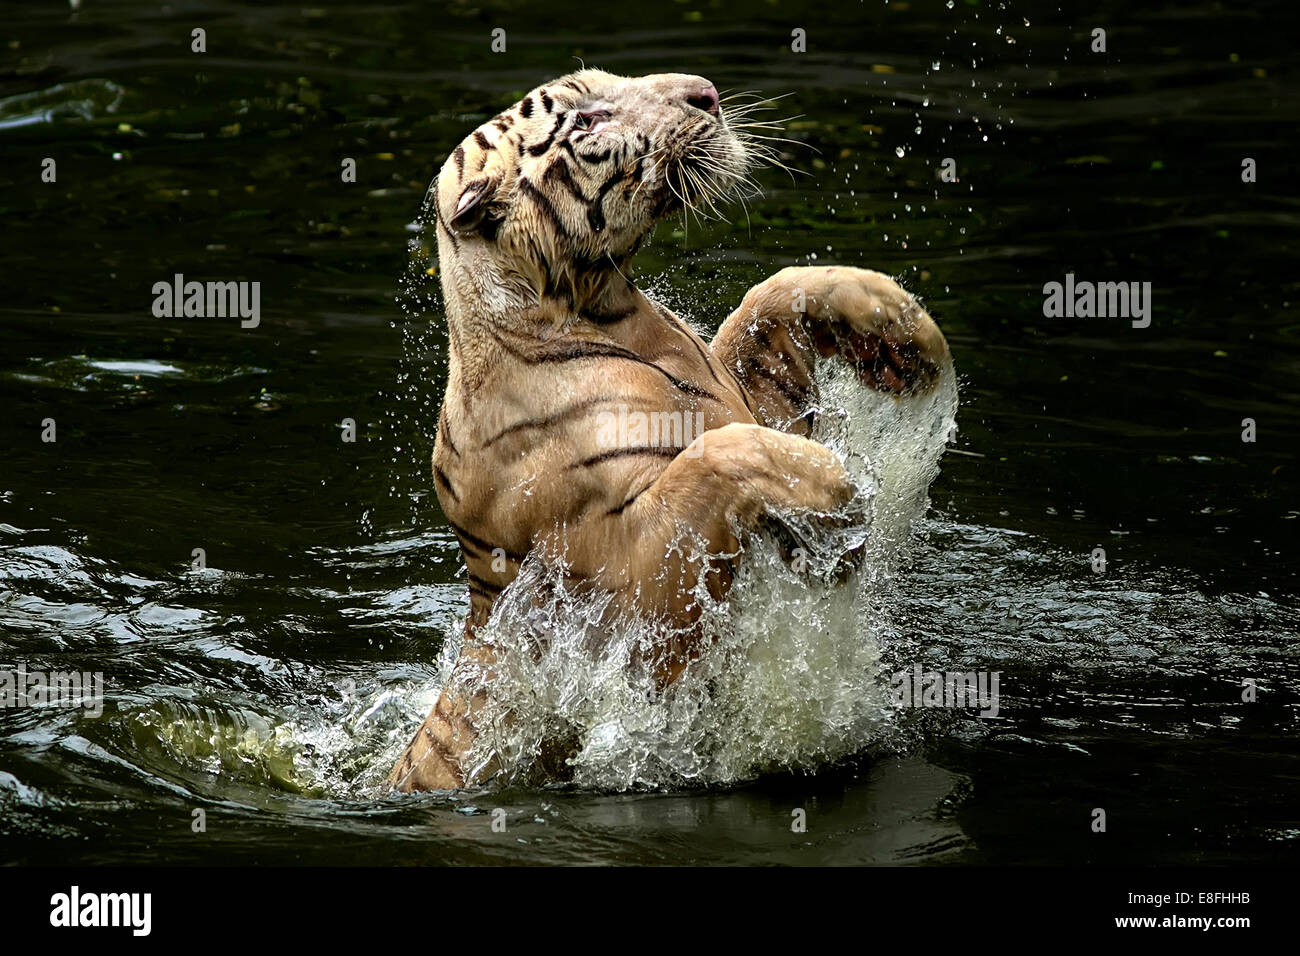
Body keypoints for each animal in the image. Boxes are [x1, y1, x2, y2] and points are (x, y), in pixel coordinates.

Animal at [387, 68, 954, 792]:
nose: (706, 93)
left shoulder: (746, 396)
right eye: (586, 120)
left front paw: (904, 328)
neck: (606, 306)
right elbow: (716, 455)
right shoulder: (628, 594)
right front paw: (839, 504)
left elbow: (774, 294)